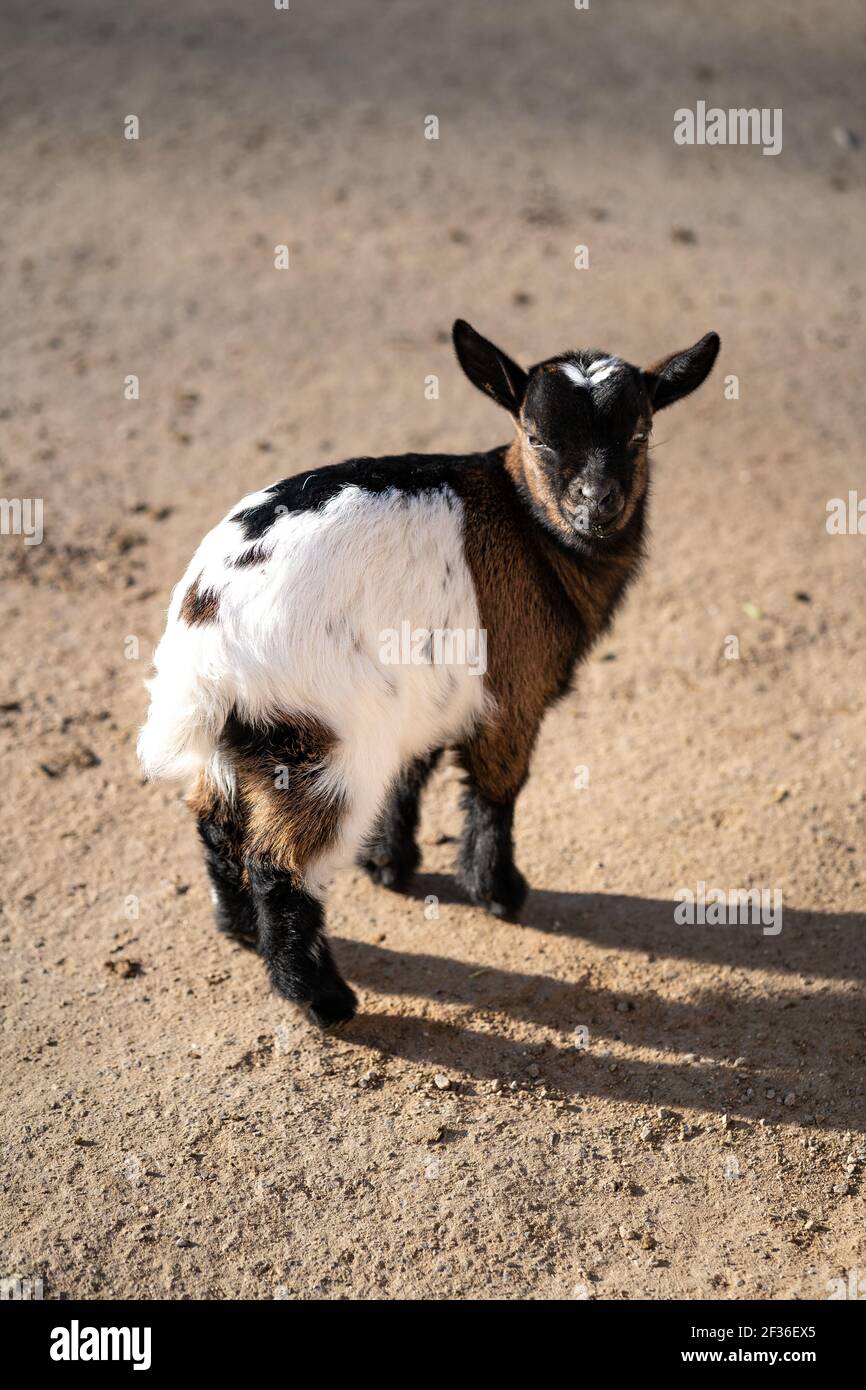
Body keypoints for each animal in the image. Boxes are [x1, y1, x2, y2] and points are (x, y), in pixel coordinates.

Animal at [138, 319, 719, 1026]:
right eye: (536, 436)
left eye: (639, 434)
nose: (597, 505)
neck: (533, 535)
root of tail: (208, 628)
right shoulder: (510, 694)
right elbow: (497, 792)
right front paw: (498, 892)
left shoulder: (424, 691)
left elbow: (413, 772)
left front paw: (391, 864)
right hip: (321, 745)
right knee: (282, 864)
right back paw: (324, 1000)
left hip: (240, 741)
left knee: (216, 825)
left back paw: (239, 929)